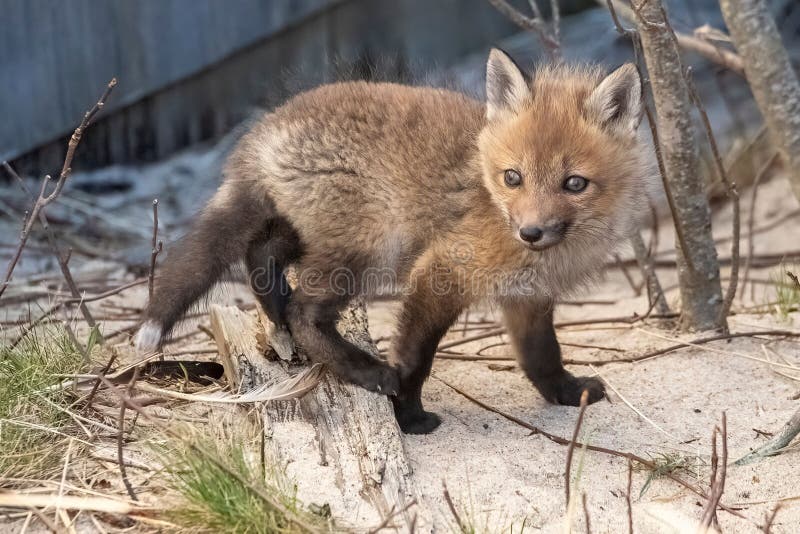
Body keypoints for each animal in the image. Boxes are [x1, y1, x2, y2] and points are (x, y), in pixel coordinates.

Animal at [135, 49, 649, 434]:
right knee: (305, 312)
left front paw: (566, 393)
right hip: (370, 247)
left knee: (258, 256)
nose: (531, 232)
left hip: (311, 236)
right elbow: (416, 358)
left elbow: (543, 356)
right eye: (513, 177)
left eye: (574, 184)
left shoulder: (528, 298)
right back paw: (361, 368)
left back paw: (279, 322)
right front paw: (409, 416)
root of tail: (264, 131)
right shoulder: (440, 272)